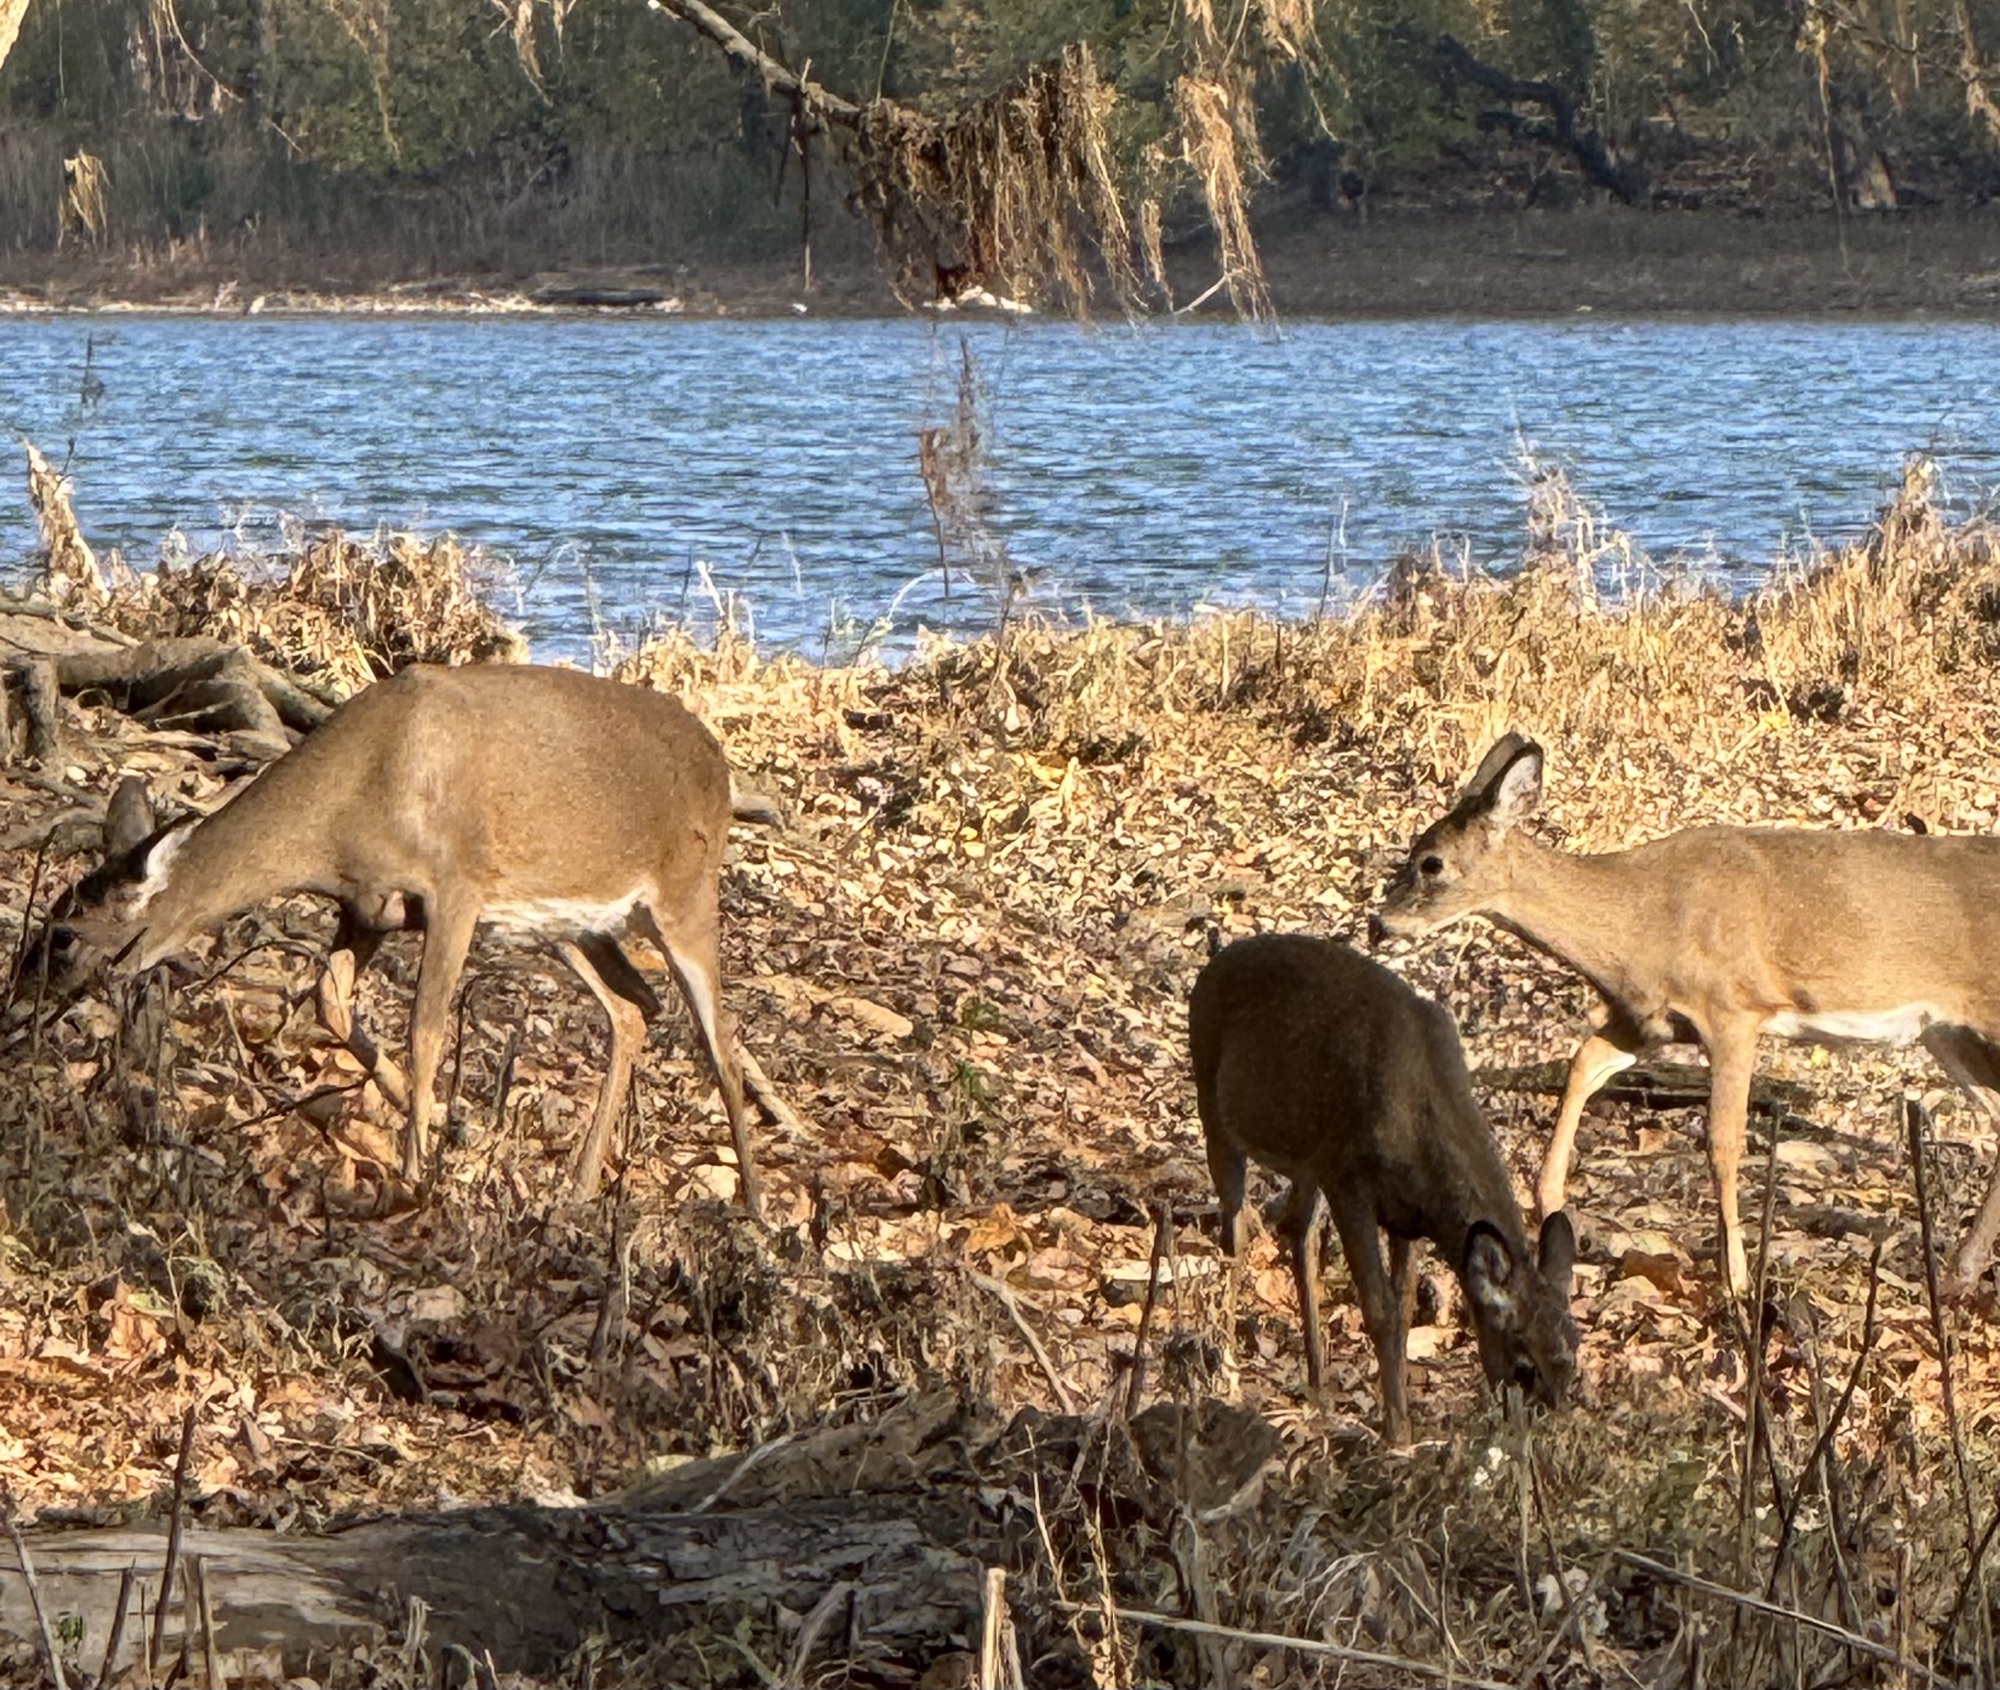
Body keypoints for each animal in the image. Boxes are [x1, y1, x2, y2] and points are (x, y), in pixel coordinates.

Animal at [41, 663, 777, 1218]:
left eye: (64, 934)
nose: (28, 994)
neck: (343, 814)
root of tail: (718, 762)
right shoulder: (368, 908)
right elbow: (329, 1000)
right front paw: (448, 1128)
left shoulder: (456, 886)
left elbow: (425, 1029)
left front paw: (414, 1174)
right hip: (569, 925)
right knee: (633, 1010)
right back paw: (580, 1185)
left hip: (685, 894)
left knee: (721, 1041)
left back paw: (755, 1209)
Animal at [1189, 931, 1577, 1446]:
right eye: (1524, 1366)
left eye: (1574, 1361)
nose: (1549, 1437)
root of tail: (1214, 962)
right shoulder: (1348, 1180)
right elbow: (1379, 1309)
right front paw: (1398, 1432)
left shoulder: (1404, 1216)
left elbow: (1405, 1307)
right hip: (1215, 1109)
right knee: (1235, 1235)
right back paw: (1231, 1376)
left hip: (1307, 1160)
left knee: (1297, 1228)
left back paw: (1318, 1385)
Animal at [1375, 732, 2000, 1300]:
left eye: (1431, 862)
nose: (1380, 923)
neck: (1639, 920)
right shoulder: (1651, 1019)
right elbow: (1584, 1064)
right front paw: (1548, 1201)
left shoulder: (1732, 1009)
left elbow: (1722, 1143)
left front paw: (1738, 1281)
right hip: (1948, 1033)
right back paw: (1958, 1275)